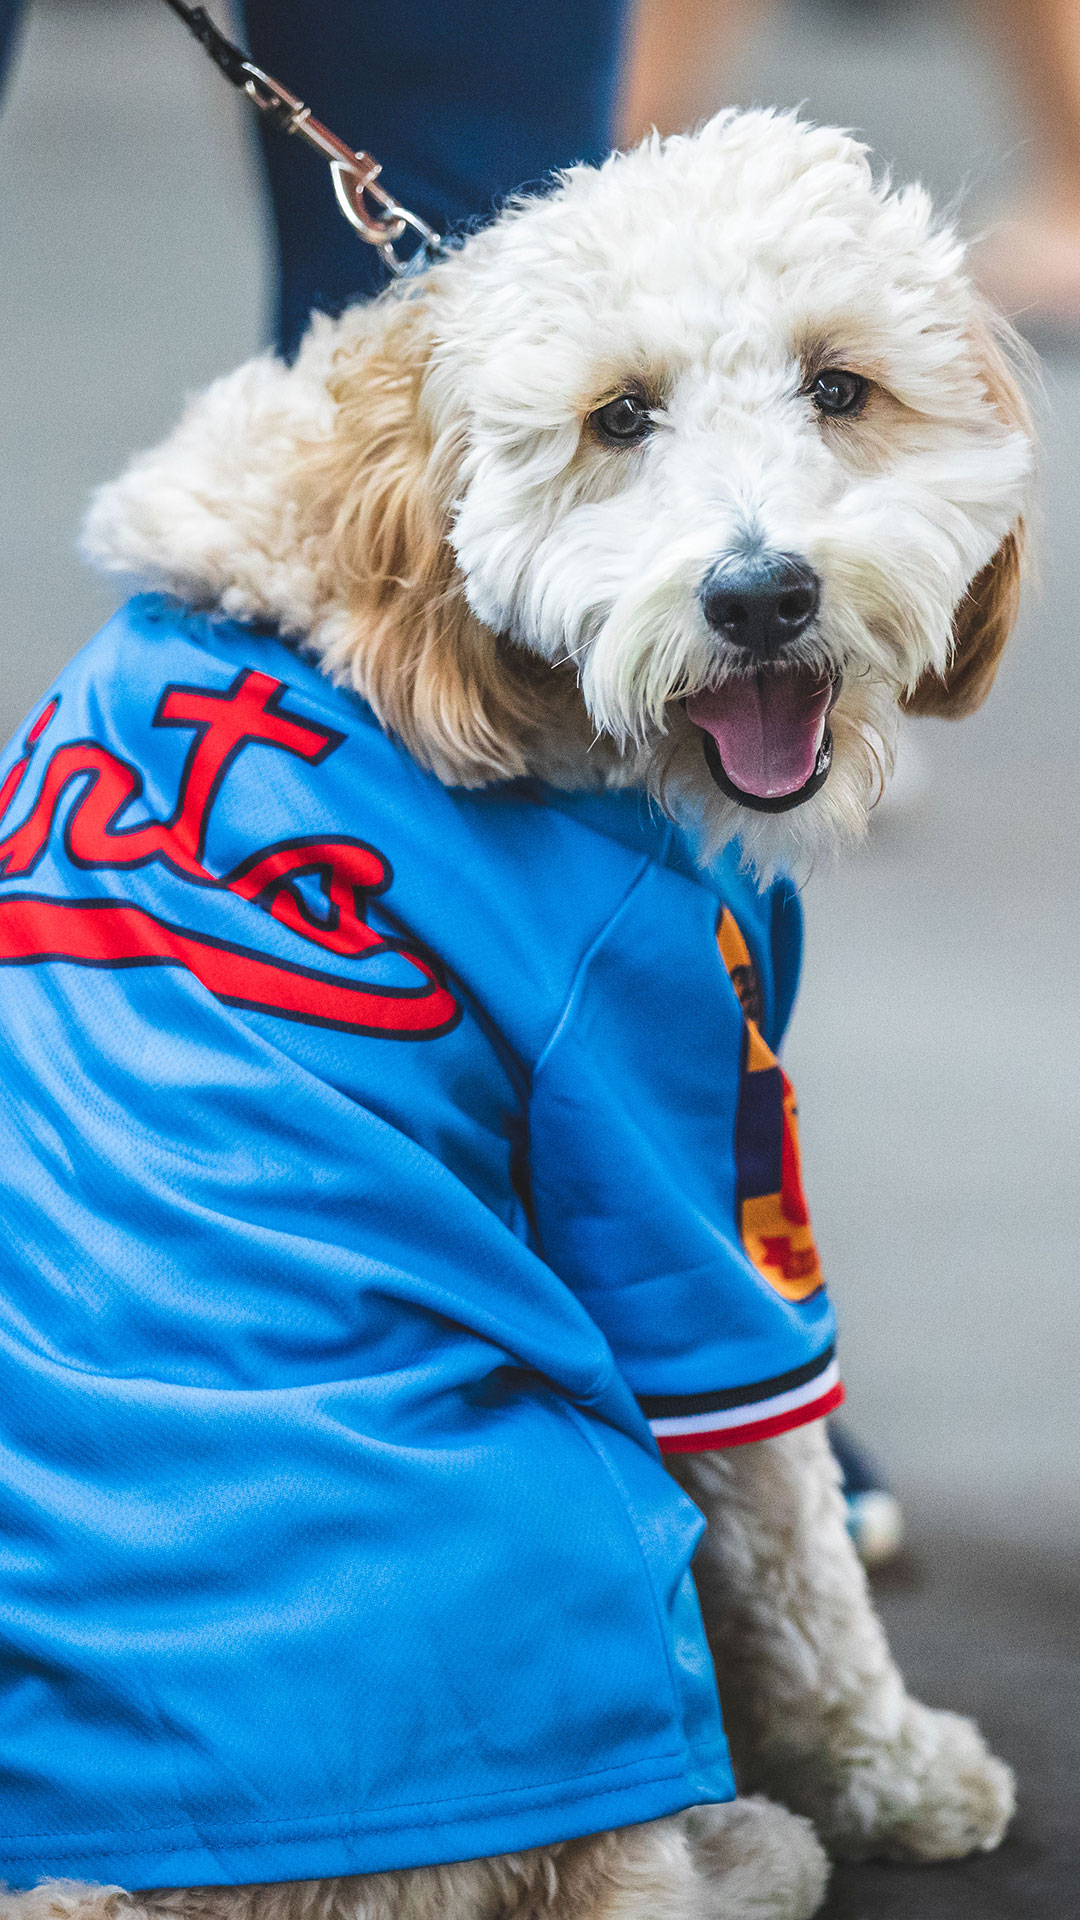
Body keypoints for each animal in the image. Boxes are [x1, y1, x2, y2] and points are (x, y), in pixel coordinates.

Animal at [0, 116, 1022, 1920]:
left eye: (840, 387)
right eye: (620, 417)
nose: (760, 595)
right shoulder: (666, 1108)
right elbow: (790, 1537)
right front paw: (896, 1767)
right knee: (615, 1870)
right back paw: (749, 1844)